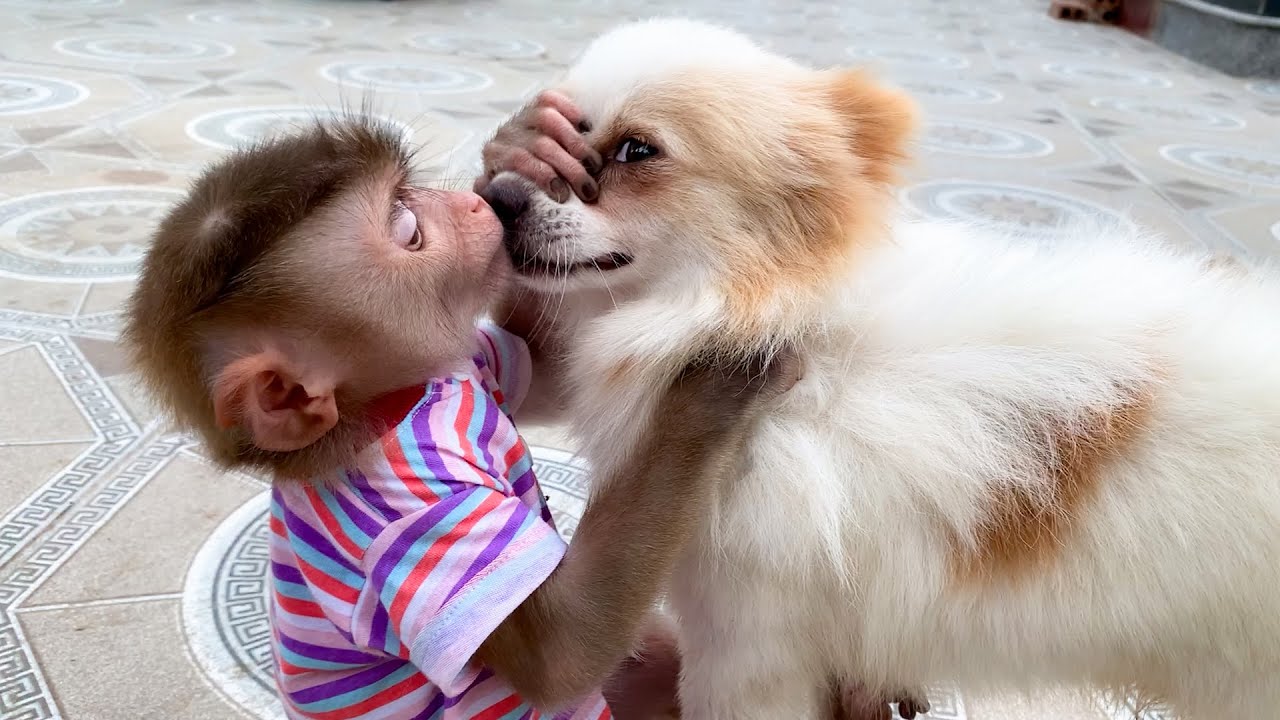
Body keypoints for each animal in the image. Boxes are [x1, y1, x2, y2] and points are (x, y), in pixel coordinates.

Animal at [122, 115, 798, 719]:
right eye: (407, 227)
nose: (481, 202)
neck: (398, 402)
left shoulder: (480, 357)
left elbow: (539, 360)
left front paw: (529, 141)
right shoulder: (418, 504)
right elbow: (560, 648)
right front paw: (713, 381)